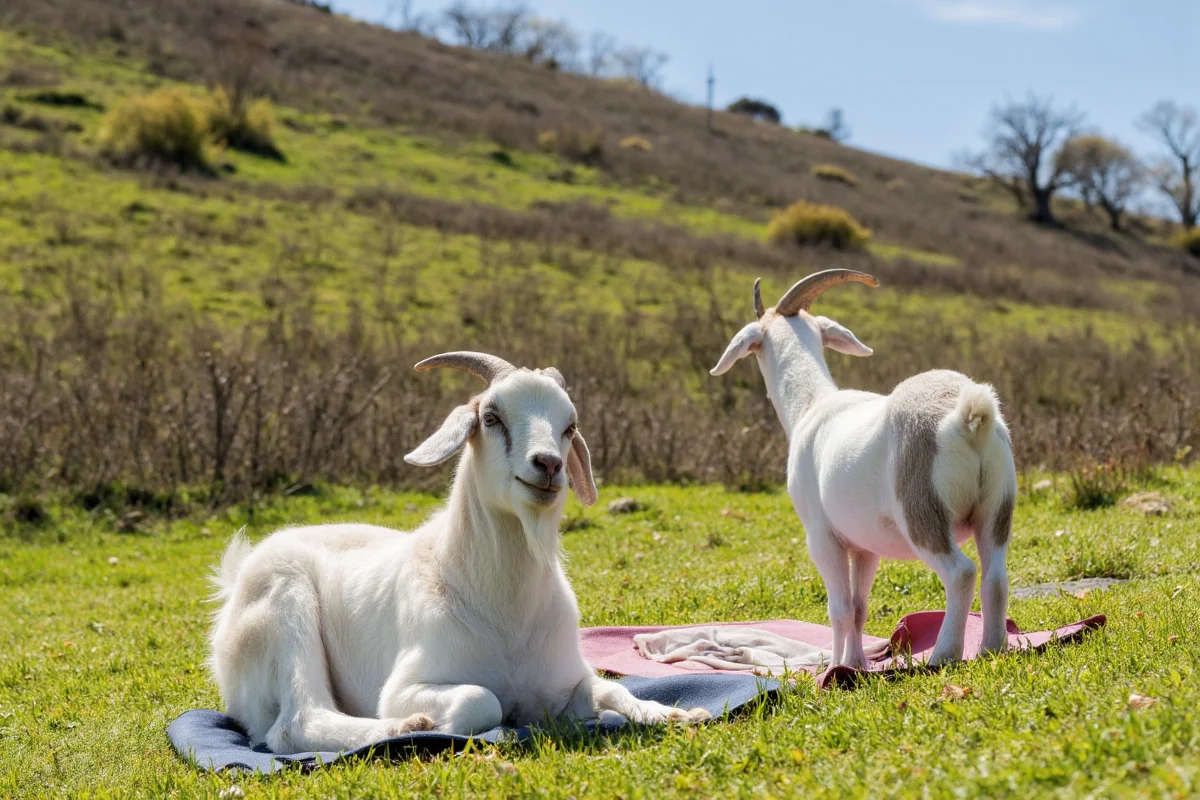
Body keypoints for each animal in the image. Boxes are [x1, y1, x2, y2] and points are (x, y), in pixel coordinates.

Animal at [209, 352, 709, 753]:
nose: (549, 465)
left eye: (570, 427)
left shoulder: (563, 683)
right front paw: (436, 724)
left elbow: (610, 690)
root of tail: (234, 582)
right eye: (491, 417)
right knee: (295, 723)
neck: (506, 612)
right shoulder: (408, 683)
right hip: (284, 608)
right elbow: (479, 700)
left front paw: (673, 714)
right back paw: (402, 727)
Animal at [711, 271, 1017, 669]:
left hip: (922, 514)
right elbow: (859, 607)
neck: (813, 405)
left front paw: (834, 667)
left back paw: (943, 654)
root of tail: (969, 416)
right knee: (995, 576)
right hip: (996, 509)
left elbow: (839, 609)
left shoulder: (822, 537)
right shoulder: (865, 547)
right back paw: (991, 648)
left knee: (961, 572)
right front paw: (856, 665)